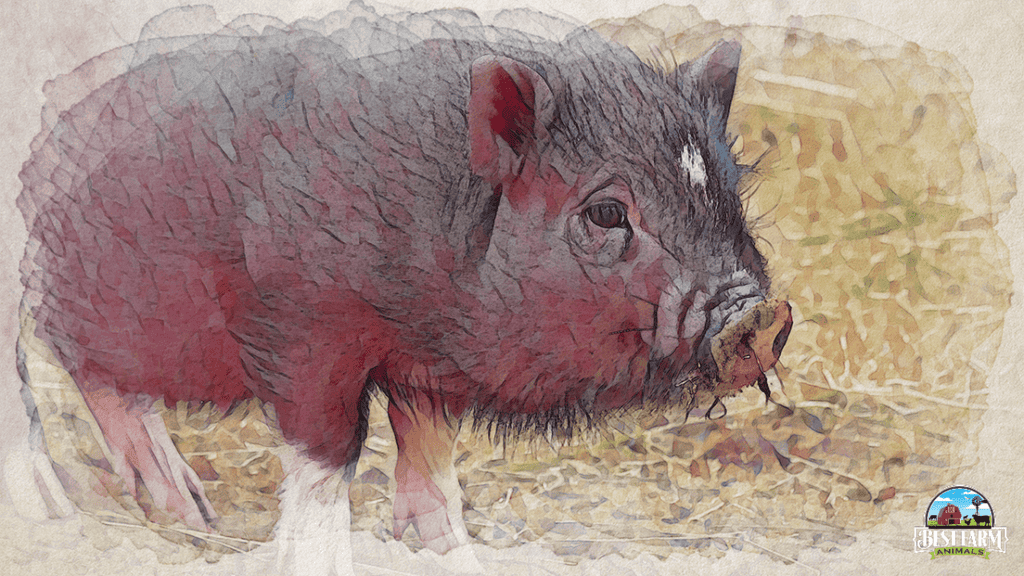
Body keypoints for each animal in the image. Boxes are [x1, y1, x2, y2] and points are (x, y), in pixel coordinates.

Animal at [17, 10, 792, 573]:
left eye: (730, 192)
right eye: (606, 212)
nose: (758, 311)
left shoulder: (427, 369)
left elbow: (432, 469)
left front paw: (453, 557)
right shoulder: (305, 336)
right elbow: (326, 464)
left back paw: (189, 516)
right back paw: (75, 514)